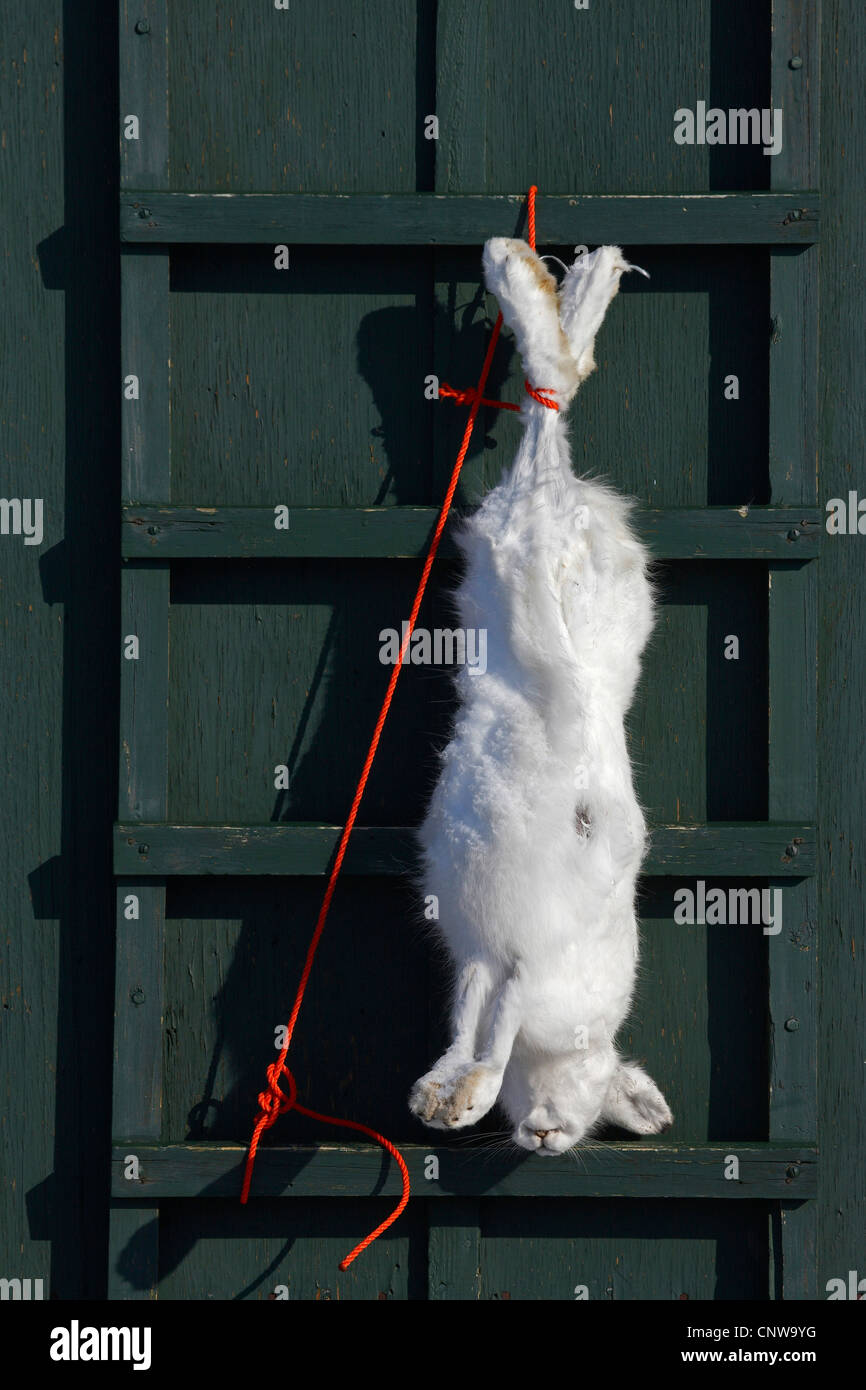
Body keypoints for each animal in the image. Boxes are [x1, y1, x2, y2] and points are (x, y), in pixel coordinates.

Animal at [408, 236, 672, 1154]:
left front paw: (445, 1094)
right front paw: (465, 1098)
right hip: (531, 544)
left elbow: (474, 1019)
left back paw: (531, 284)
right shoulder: (526, 966)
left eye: (601, 1111)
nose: (549, 1137)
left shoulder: (496, 962)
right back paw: (536, 284)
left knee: (546, 397)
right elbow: (491, 1025)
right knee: (549, 396)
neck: (574, 1047)